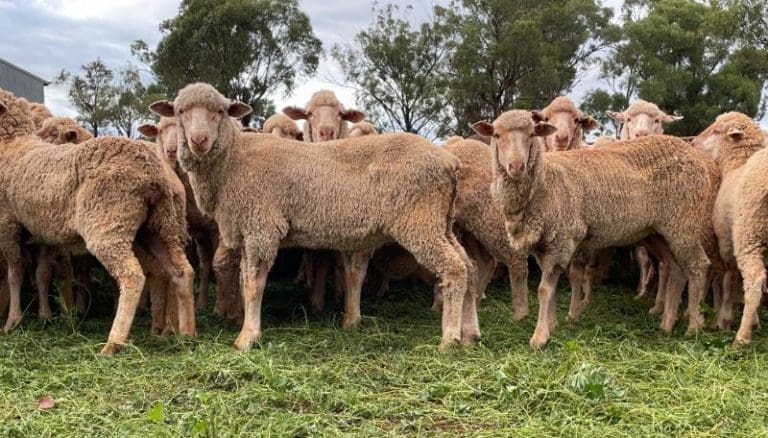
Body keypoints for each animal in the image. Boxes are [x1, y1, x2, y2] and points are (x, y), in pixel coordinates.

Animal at [0, 88, 194, 355]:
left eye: (52, 133)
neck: (11, 144)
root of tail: (155, 171)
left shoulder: (7, 222)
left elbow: (15, 273)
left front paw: (13, 321)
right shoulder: (42, 234)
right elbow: (39, 273)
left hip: (109, 224)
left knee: (133, 276)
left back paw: (114, 343)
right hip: (163, 226)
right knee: (181, 271)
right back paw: (185, 335)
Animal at [150, 82, 477, 351]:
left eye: (219, 112)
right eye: (180, 111)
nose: (199, 140)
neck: (233, 160)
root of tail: (449, 162)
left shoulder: (262, 227)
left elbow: (254, 285)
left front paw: (247, 337)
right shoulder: (245, 231)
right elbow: (244, 281)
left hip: (420, 221)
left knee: (454, 269)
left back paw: (449, 339)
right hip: (441, 221)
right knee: (469, 267)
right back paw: (471, 332)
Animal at [473, 110, 718, 348]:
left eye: (532, 134)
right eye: (496, 135)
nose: (516, 166)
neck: (544, 182)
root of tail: (692, 153)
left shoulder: (561, 240)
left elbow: (544, 290)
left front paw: (540, 336)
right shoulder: (545, 245)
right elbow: (551, 289)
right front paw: (552, 325)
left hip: (684, 223)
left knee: (698, 266)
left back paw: (694, 326)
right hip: (659, 232)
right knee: (675, 269)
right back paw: (667, 323)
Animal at [692, 112, 767, 341]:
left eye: (717, 131)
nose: (694, 143)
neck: (735, 166)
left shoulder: (726, 242)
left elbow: (729, 280)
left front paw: (723, 319)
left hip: (749, 234)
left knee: (754, 281)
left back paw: (741, 337)